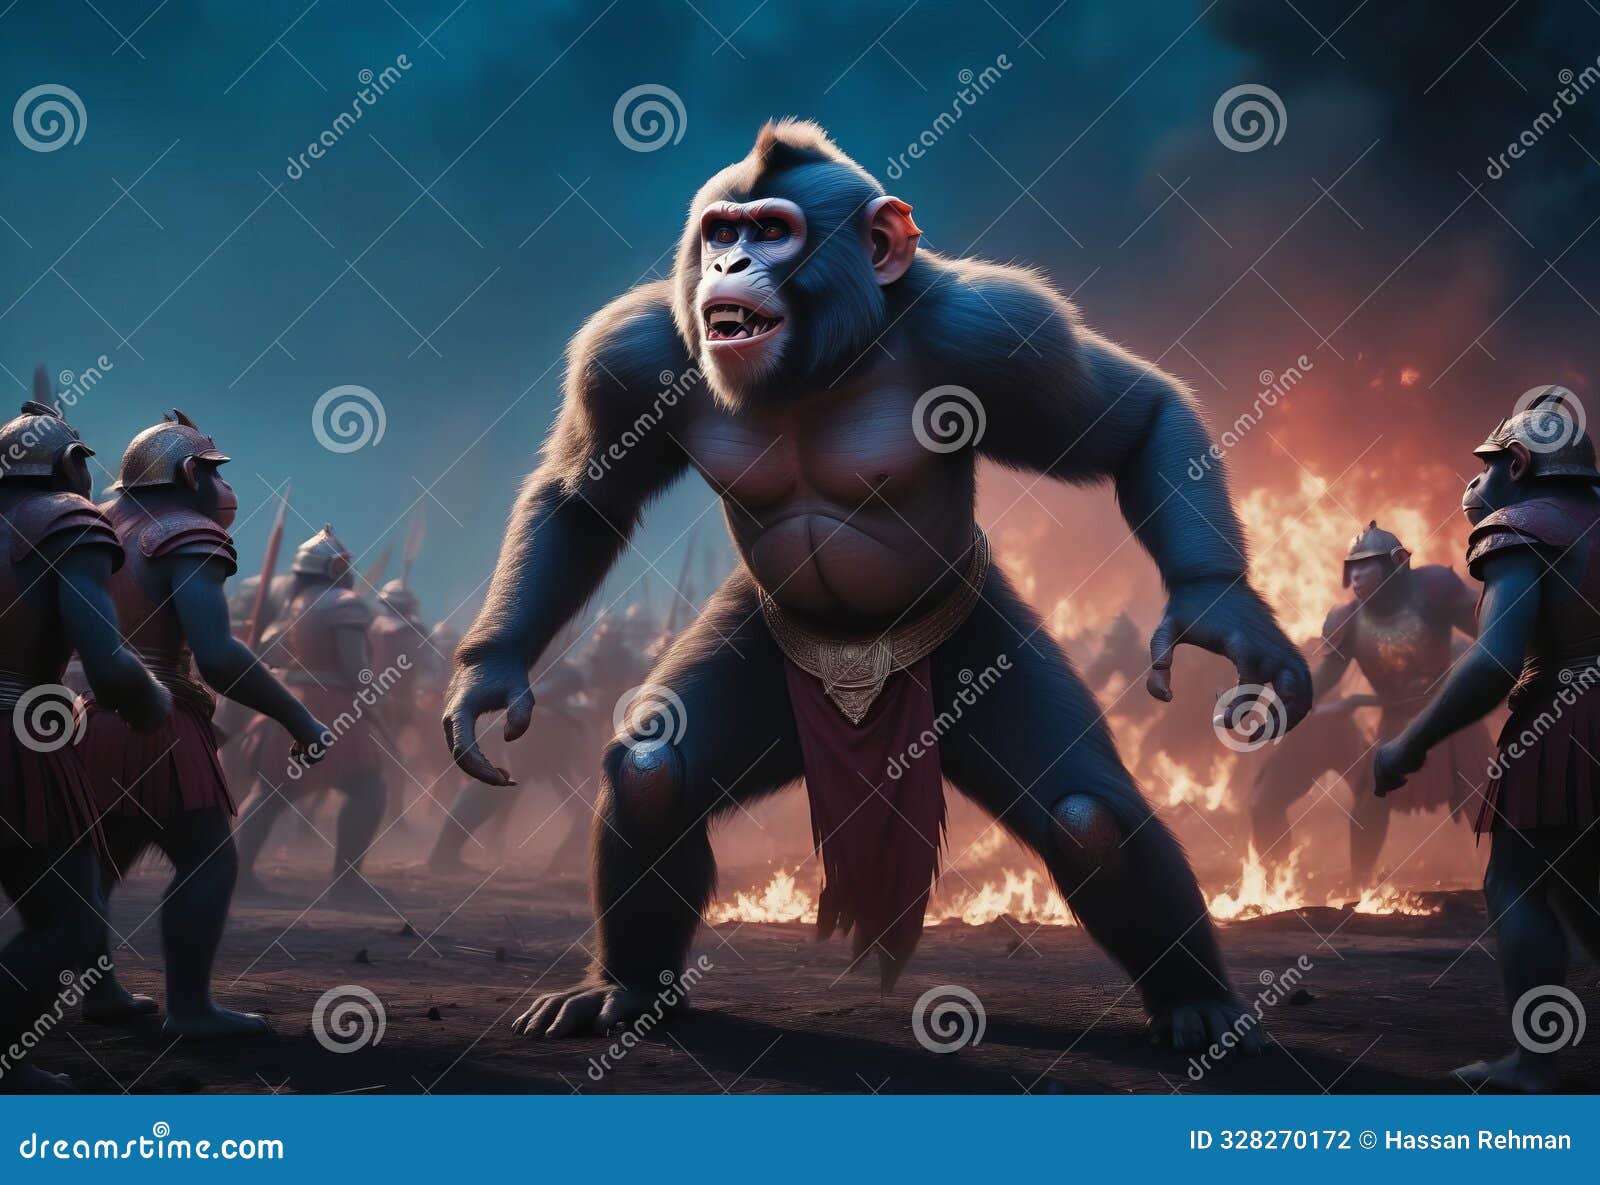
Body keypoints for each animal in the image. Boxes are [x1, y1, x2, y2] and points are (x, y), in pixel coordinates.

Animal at [444, 122, 1310, 1050]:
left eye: (772, 231)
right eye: (721, 231)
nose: (728, 265)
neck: (822, 357)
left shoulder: (1005, 330)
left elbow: (1138, 423)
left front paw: (1221, 611)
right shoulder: (627, 354)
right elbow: (583, 500)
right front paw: (490, 674)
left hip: (972, 646)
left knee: (1087, 814)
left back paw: (1199, 1002)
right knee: (652, 768)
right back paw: (627, 987)